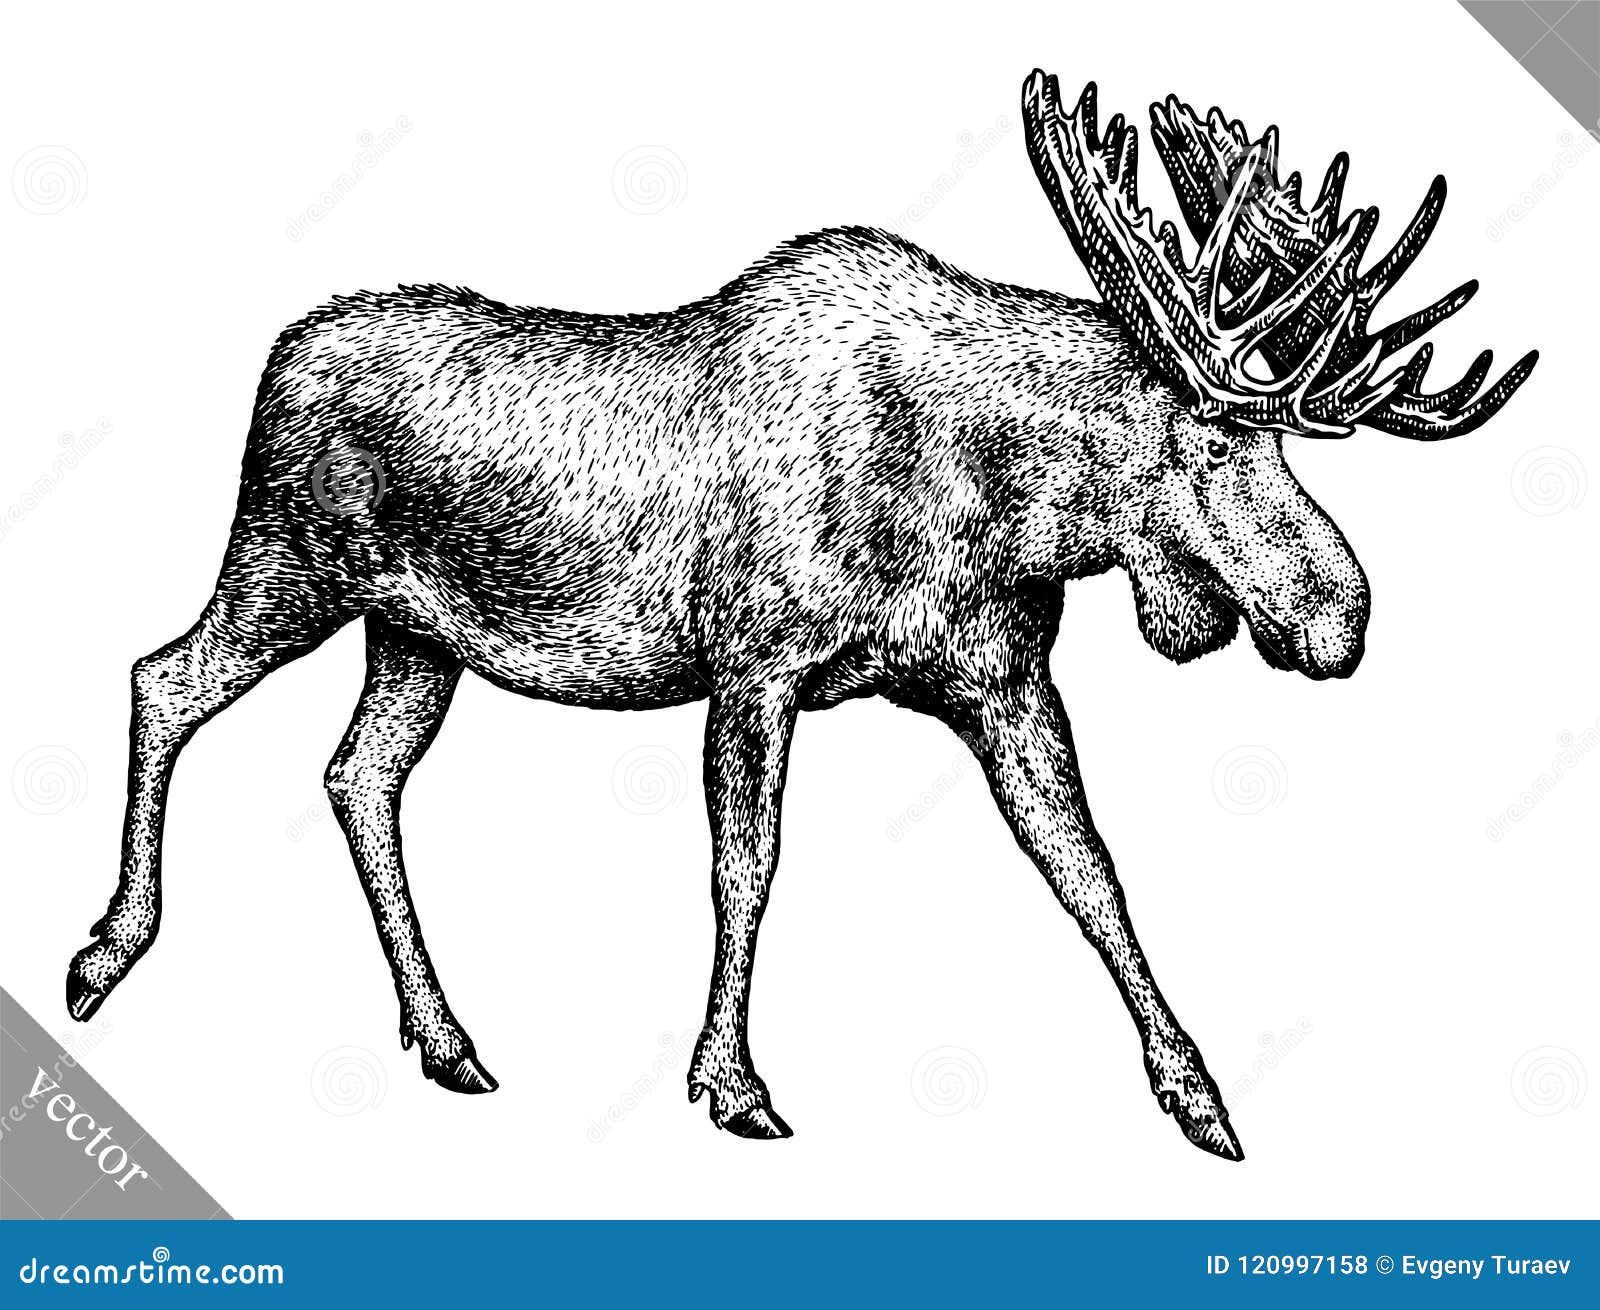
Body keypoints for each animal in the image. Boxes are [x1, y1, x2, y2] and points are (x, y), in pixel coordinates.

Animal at [67, 71, 1536, 1159]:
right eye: (1218, 442)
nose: (1341, 617)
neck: (999, 500)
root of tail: (280, 350)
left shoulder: (1001, 679)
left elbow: (1089, 866)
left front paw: (1197, 1095)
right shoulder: (755, 665)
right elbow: (748, 865)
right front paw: (731, 1082)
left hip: (418, 635)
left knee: (356, 773)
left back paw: (447, 1039)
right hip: (286, 566)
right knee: (159, 677)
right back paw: (105, 952)